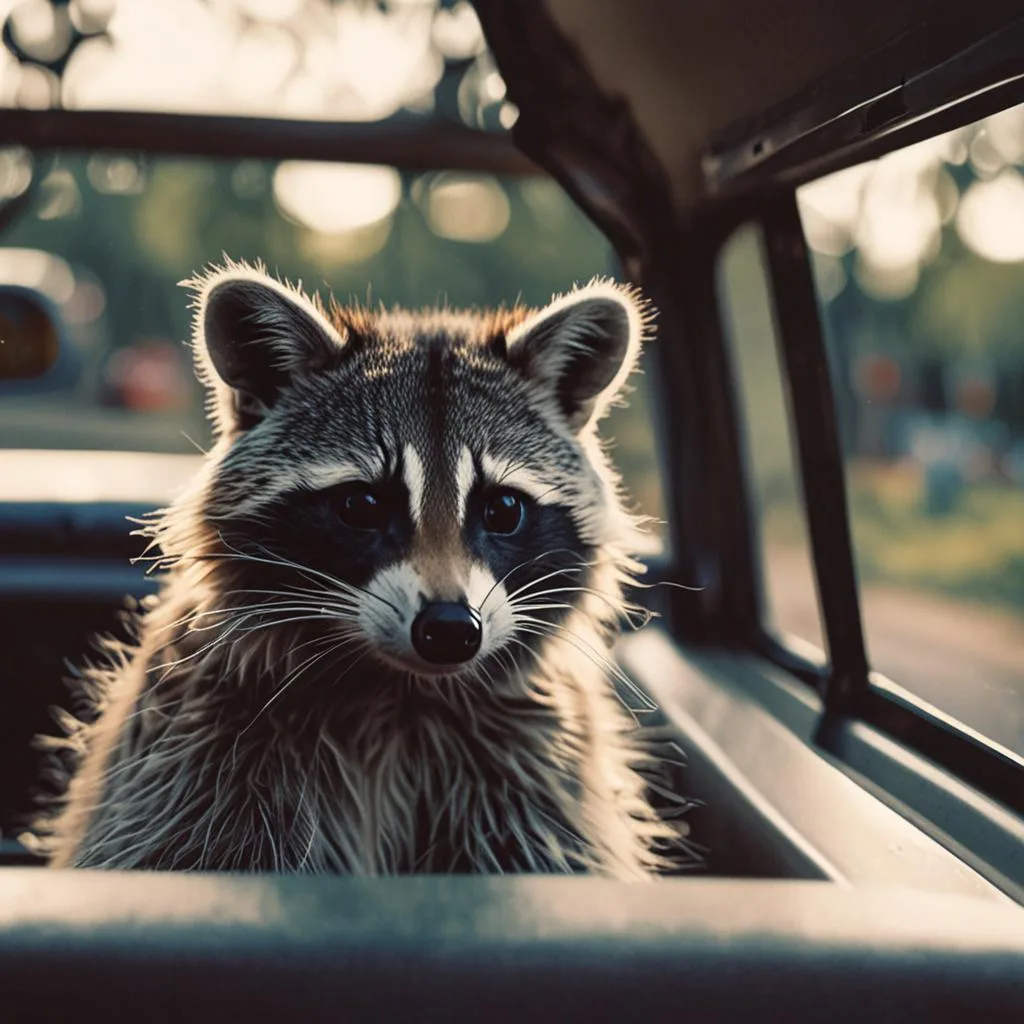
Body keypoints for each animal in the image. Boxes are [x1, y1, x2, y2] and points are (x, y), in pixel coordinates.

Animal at [35, 260, 683, 877]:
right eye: (362, 505)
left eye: (502, 509)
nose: (450, 630)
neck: (396, 690)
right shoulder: (197, 748)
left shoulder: (536, 766)